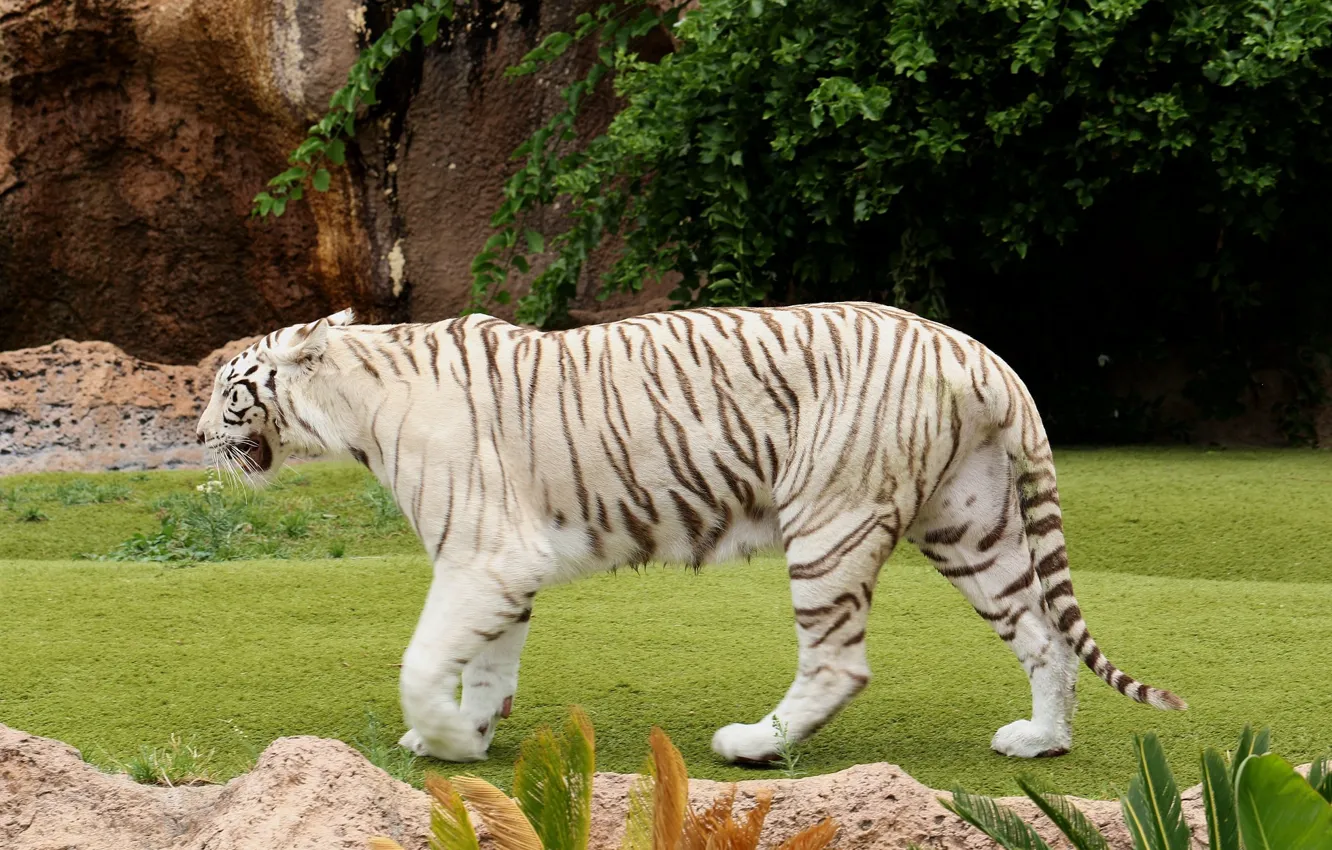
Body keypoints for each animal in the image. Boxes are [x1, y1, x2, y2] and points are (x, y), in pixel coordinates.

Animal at [196, 301, 1185, 764]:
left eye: (231, 389)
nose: (196, 433)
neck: (355, 399)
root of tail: (977, 352)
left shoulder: (483, 554)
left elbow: (423, 659)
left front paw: (441, 740)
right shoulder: (504, 564)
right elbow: (488, 661)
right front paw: (469, 732)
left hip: (829, 520)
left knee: (839, 664)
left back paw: (754, 743)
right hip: (970, 524)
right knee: (1043, 636)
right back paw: (1041, 740)